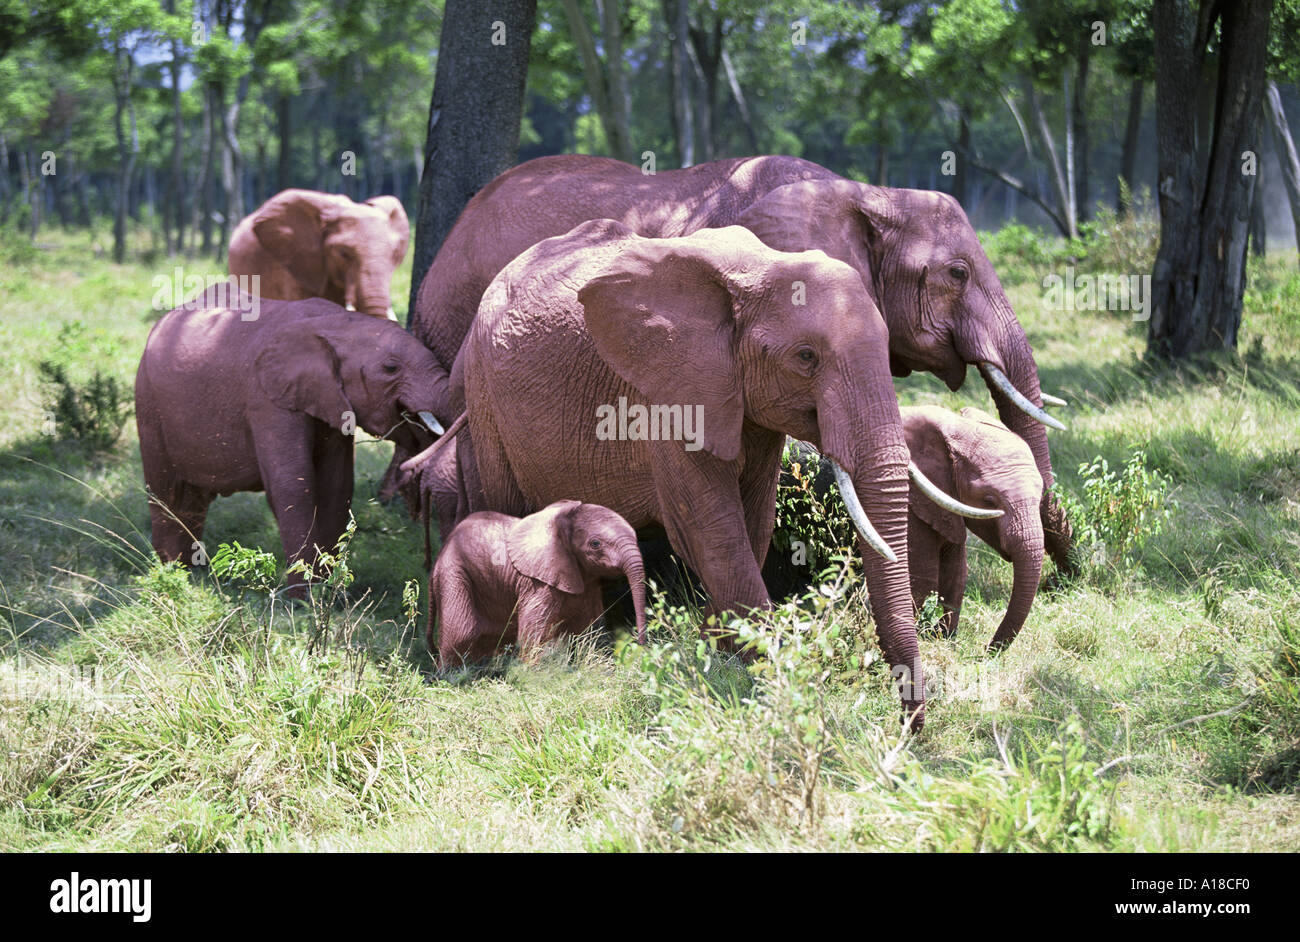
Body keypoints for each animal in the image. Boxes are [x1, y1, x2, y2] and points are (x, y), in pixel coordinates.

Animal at [135, 286, 444, 595]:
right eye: (391, 368)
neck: (337, 323)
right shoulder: (266, 398)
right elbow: (294, 486)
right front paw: (306, 598)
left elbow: (337, 484)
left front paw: (330, 591)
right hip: (147, 399)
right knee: (165, 490)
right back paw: (172, 571)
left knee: (193, 498)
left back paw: (191, 571)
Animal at [430, 500, 648, 666]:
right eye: (595, 544)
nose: (640, 647)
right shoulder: (536, 583)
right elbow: (535, 633)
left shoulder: (587, 581)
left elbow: (588, 629)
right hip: (454, 575)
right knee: (461, 634)